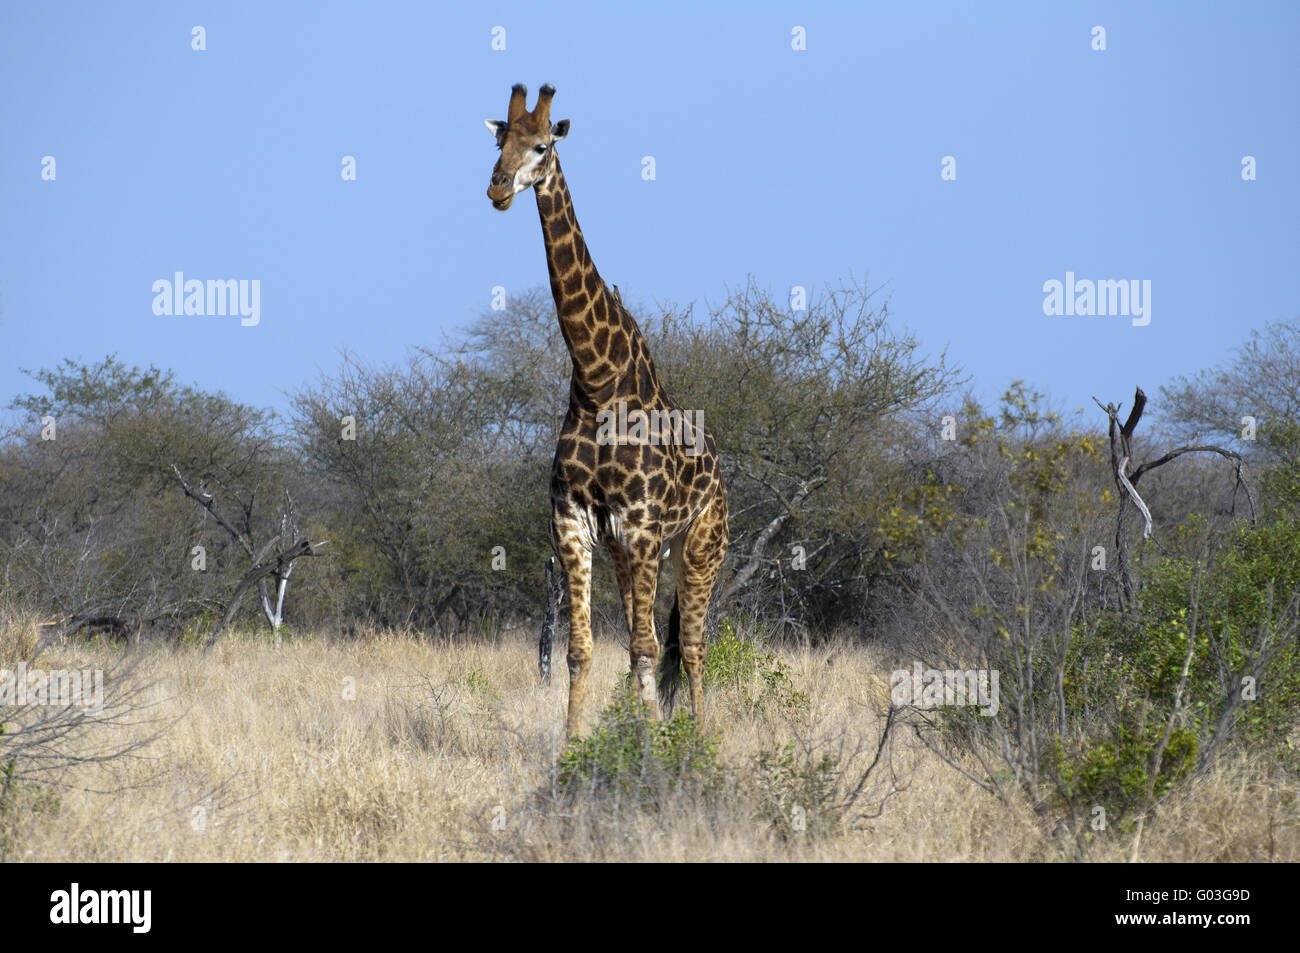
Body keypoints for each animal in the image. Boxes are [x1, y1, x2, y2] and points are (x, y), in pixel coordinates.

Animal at [485, 83, 729, 737]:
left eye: (541, 145)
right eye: (499, 140)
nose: (496, 188)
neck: (596, 380)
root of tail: (722, 473)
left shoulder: (642, 526)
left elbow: (646, 647)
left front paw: (651, 748)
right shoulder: (573, 523)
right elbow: (581, 650)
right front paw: (573, 745)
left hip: (700, 545)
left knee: (692, 647)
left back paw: (699, 737)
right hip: (630, 552)